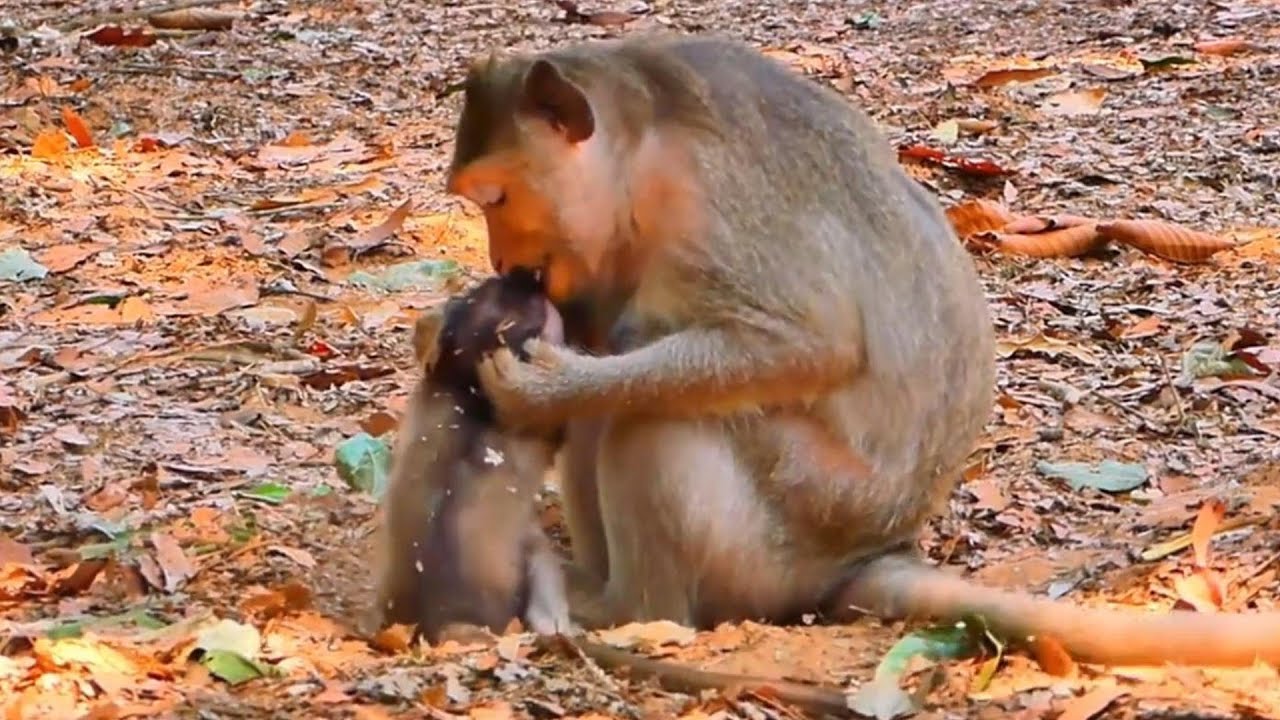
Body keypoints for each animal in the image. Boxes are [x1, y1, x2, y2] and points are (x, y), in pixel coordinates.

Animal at [441, 31, 1280, 682]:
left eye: (496, 199)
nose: (502, 261)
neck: (642, 152)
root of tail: (871, 551)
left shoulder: (714, 202)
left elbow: (811, 341)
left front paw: (543, 388)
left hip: (808, 510)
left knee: (653, 419)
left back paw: (628, 607)